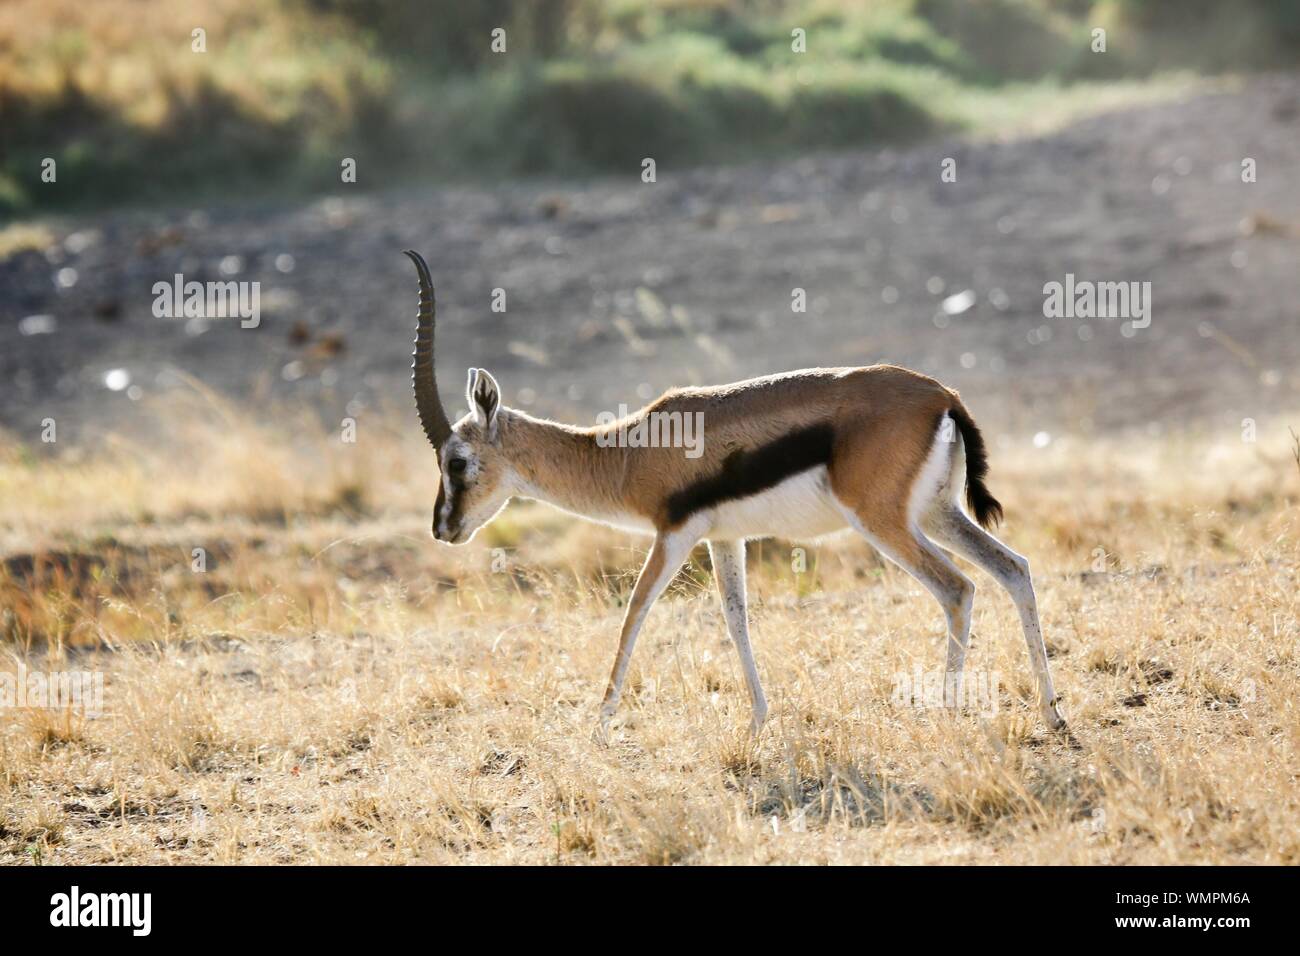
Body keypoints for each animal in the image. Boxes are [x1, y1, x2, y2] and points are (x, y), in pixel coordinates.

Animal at [402, 250, 1065, 738]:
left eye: (456, 461)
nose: (443, 528)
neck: (626, 454)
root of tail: (942, 395)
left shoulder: (673, 535)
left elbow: (634, 613)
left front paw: (599, 727)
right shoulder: (725, 539)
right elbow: (735, 618)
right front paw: (758, 722)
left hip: (885, 522)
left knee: (957, 589)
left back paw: (948, 715)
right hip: (936, 512)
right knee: (1014, 569)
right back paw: (1053, 715)